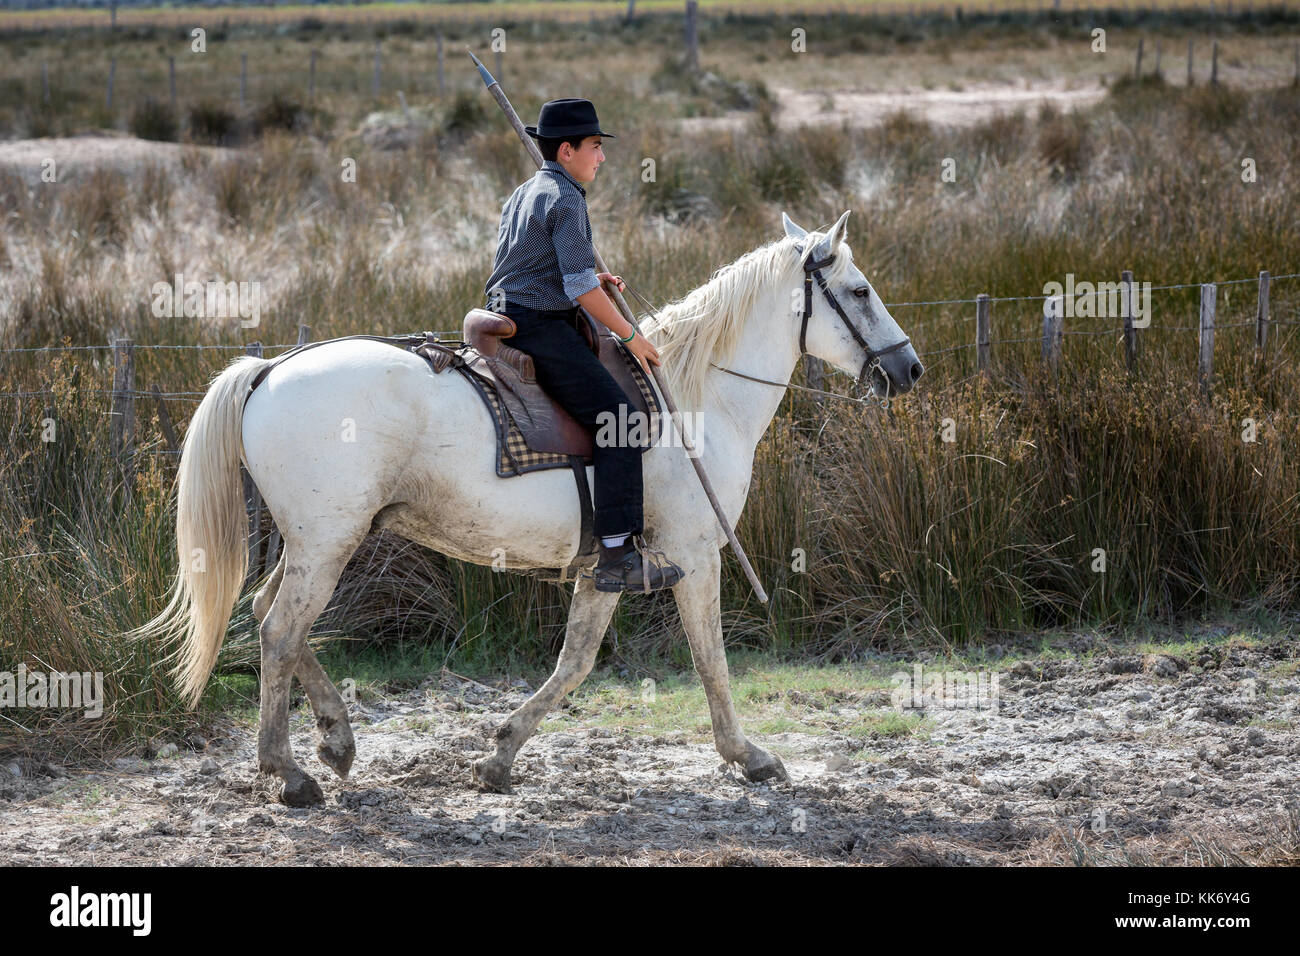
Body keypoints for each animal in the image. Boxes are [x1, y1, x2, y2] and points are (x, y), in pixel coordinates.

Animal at [130, 209, 924, 807]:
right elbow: (710, 660)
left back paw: (336, 739)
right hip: (328, 543)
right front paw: (748, 756)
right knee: (280, 632)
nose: (908, 368)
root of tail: (269, 369)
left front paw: (500, 757)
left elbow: (575, 660)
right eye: (858, 291)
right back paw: (290, 773)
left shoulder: (610, 565)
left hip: (317, 543)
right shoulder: (696, 556)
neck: (696, 397)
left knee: (273, 619)